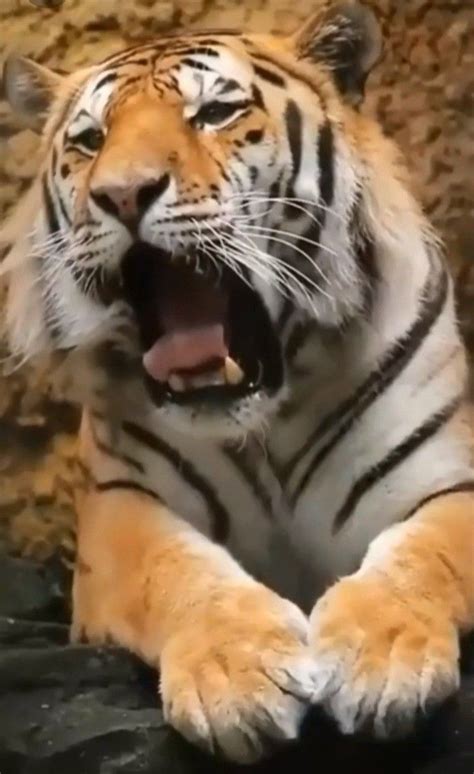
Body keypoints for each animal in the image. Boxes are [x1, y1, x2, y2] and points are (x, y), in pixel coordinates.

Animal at [1, 0, 474, 763]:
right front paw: (238, 675)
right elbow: (177, 570)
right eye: (90, 139)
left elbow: (422, 556)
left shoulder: (446, 482)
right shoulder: (119, 504)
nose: (121, 194)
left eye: (215, 113)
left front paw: (382, 658)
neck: (264, 421)